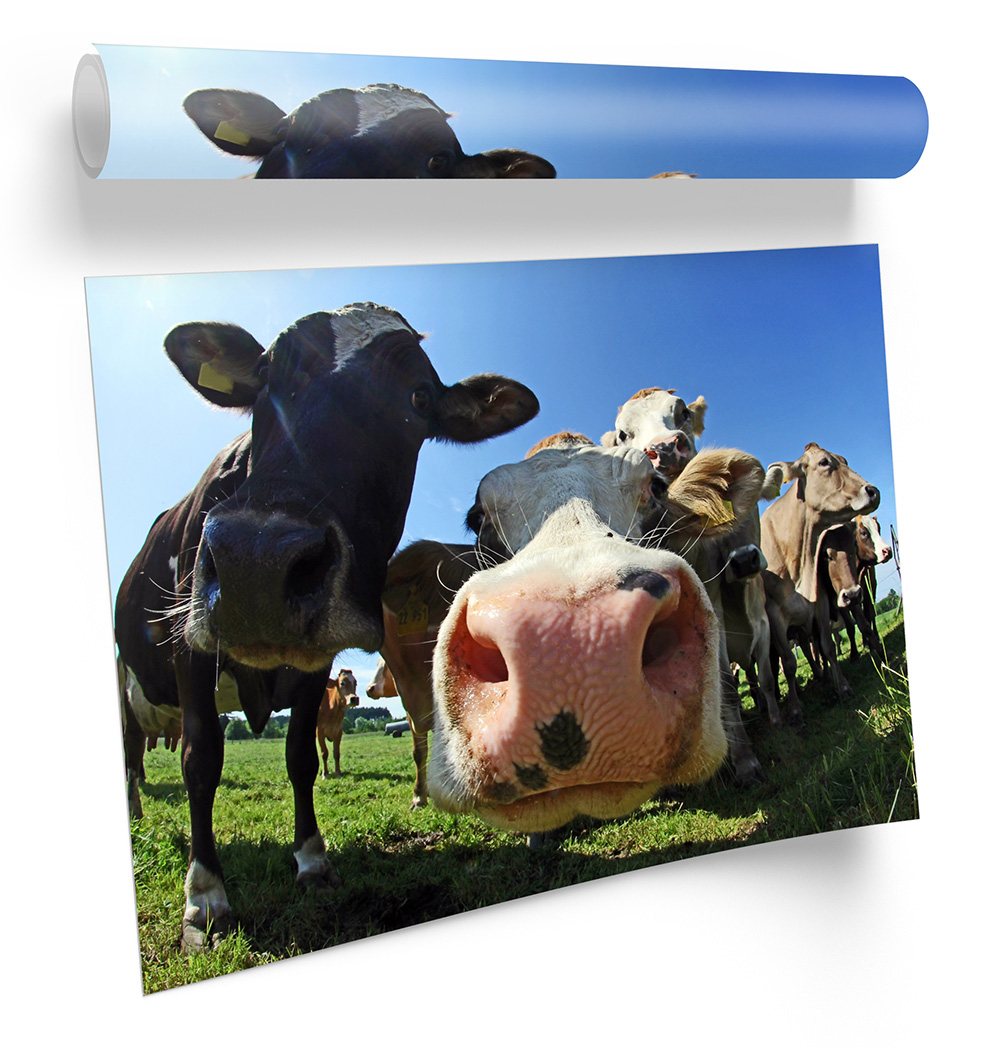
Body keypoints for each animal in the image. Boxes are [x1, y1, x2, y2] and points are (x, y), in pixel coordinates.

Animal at [114, 302, 539, 951]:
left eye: (417, 397)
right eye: (264, 377)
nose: (256, 564)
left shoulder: (316, 661)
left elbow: (299, 758)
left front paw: (312, 860)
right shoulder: (190, 648)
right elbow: (201, 758)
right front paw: (205, 898)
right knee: (131, 748)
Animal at [759, 443, 880, 705]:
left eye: (845, 460)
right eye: (824, 462)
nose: (873, 491)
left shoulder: (821, 601)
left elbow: (828, 646)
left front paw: (842, 687)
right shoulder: (774, 616)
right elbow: (789, 662)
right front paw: (795, 707)